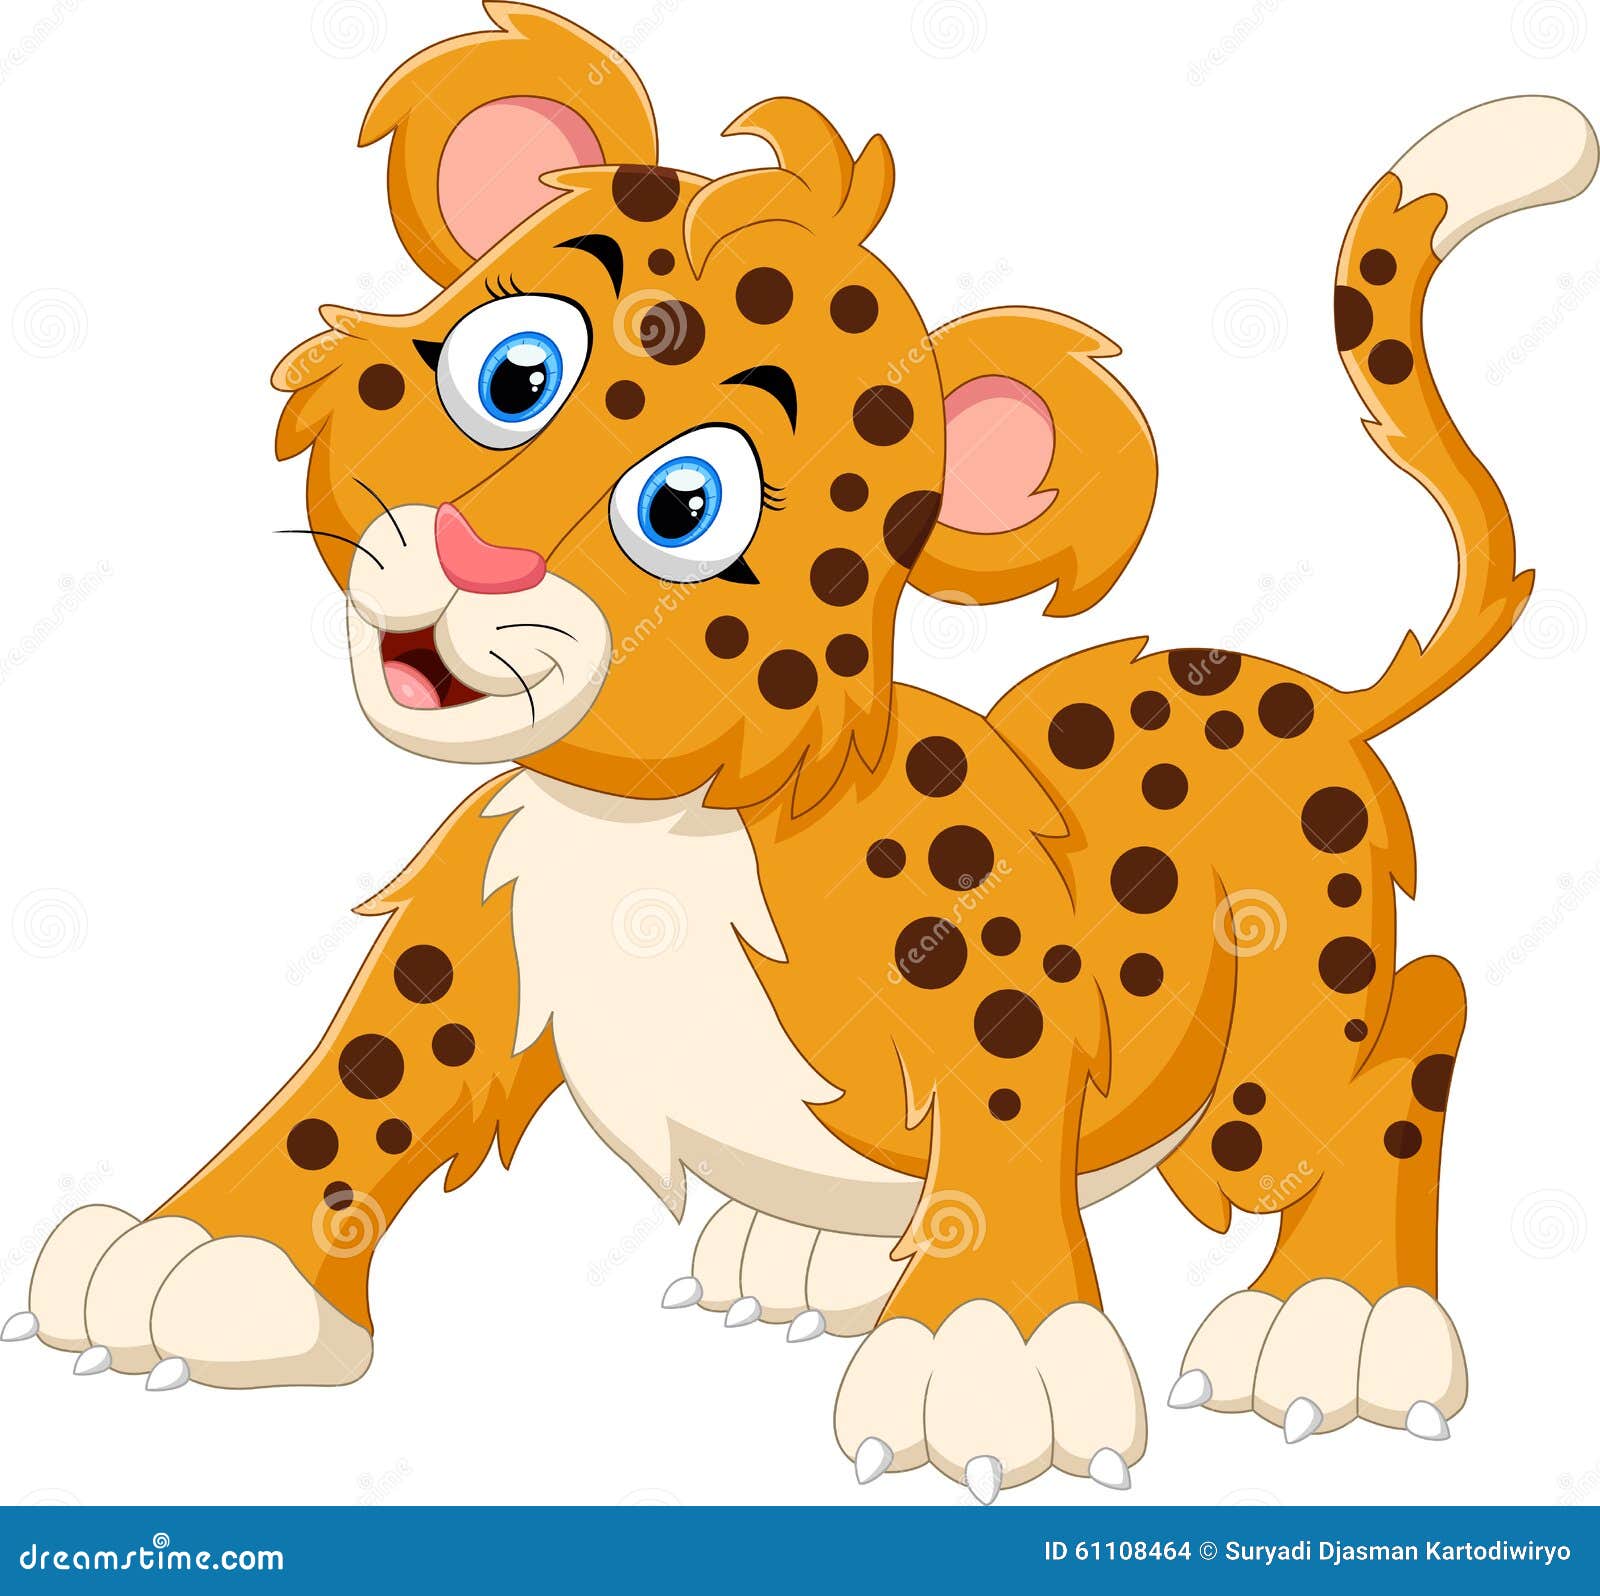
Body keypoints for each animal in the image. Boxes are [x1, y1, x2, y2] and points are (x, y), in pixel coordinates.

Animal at [6, 3, 1595, 1502]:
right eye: (514, 373)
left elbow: (1000, 1132)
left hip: (1273, 1077)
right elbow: (362, 1081)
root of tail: (1306, 686)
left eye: (685, 506)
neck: (653, 835)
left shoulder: (993, 994)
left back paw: (1334, 1323)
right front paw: (199, 1257)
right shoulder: (483, 920)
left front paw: (985, 1356)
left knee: (1414, 1031)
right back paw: (808, 1255)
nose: (474, 560)